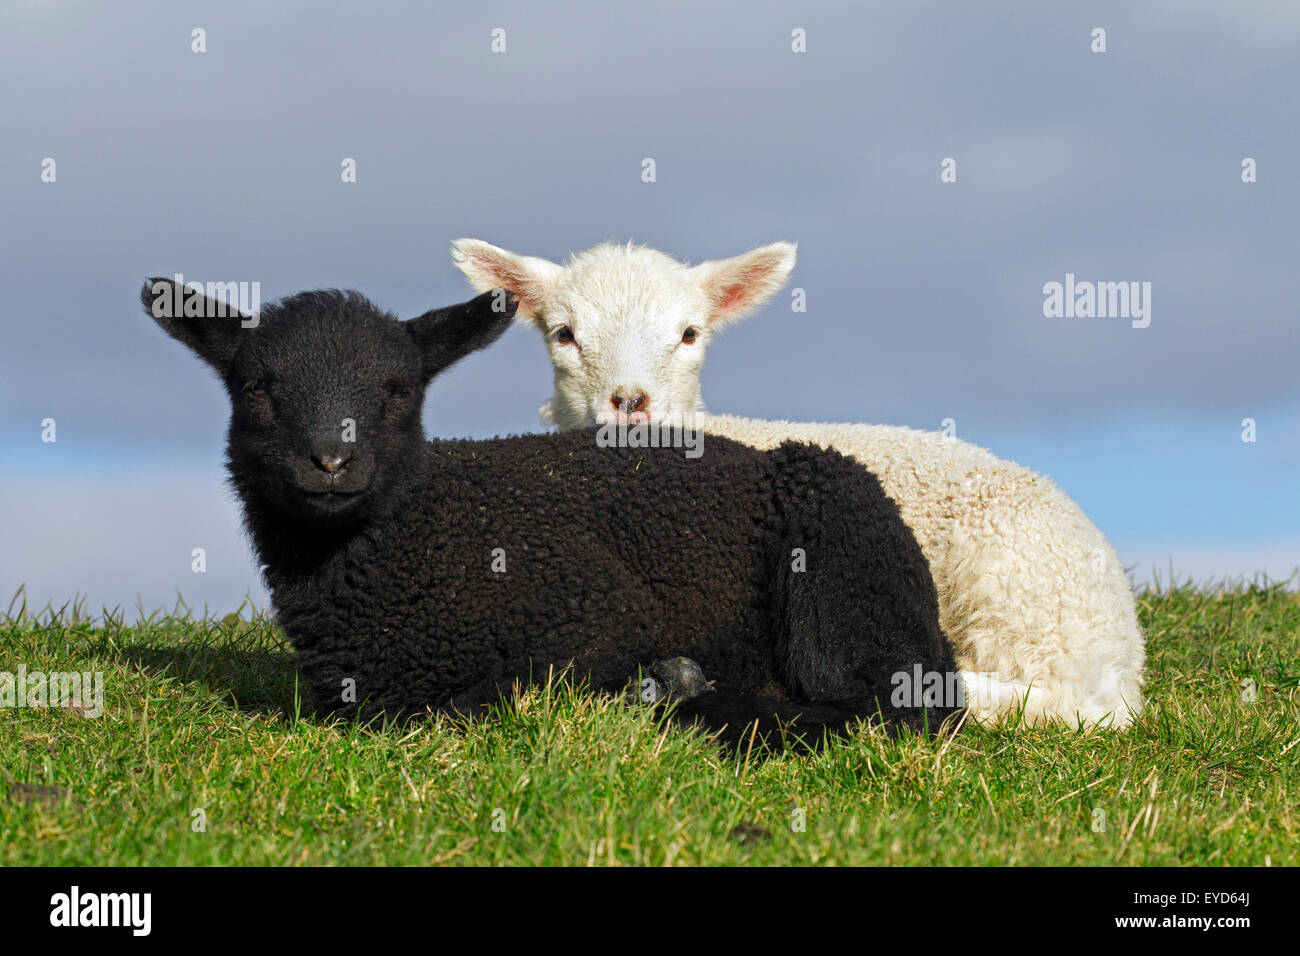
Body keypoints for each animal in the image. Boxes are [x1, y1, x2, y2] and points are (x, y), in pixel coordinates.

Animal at [139, 277, 961, 745]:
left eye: (399, 390)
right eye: (258, 387)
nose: (332, 464)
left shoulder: (596, 612)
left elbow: (489, 697)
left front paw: (669, 687)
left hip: (837, 554)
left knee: (892, 705)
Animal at [450, 238, 1147, 728]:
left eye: (690, 334)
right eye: (564, 334)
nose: (629, 403)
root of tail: (1125, 638)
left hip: (1016, 595)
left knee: (1069, 704)